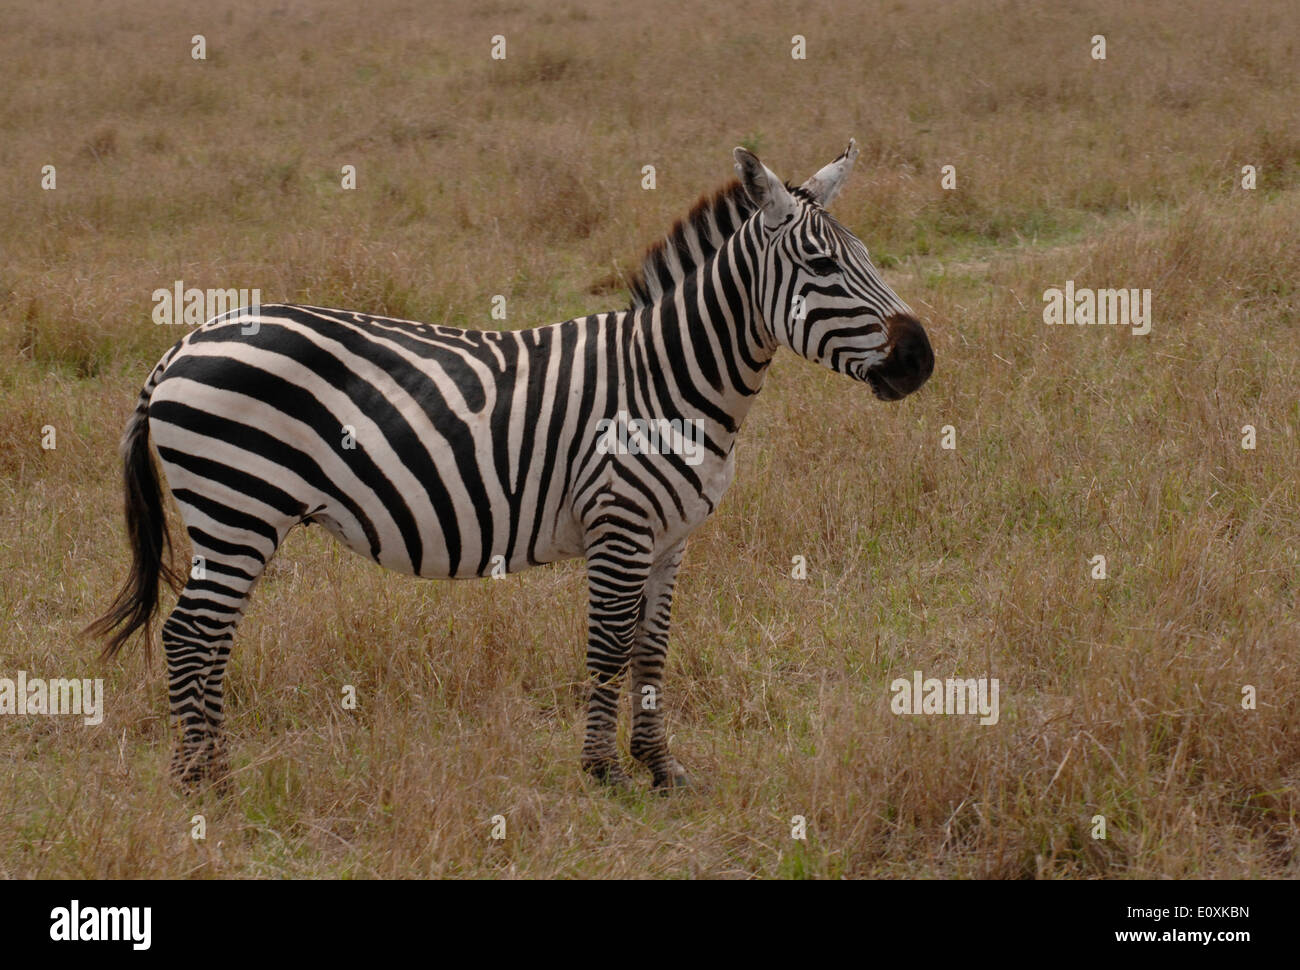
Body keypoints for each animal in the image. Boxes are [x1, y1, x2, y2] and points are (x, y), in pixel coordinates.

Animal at [86, 140, 934, 792]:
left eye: (866, 257)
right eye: (821, 266)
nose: (920, 359)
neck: (669, 380)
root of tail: (181, 345)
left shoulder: (670, 541)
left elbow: (652, 651)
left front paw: (663, 771)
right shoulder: (619, 524)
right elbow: (608, 646)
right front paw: (604, 774)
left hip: (233, 514)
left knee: (206, 634)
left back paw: (212, 773)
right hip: (239, 505)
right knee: (191, 634)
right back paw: (206, 785)